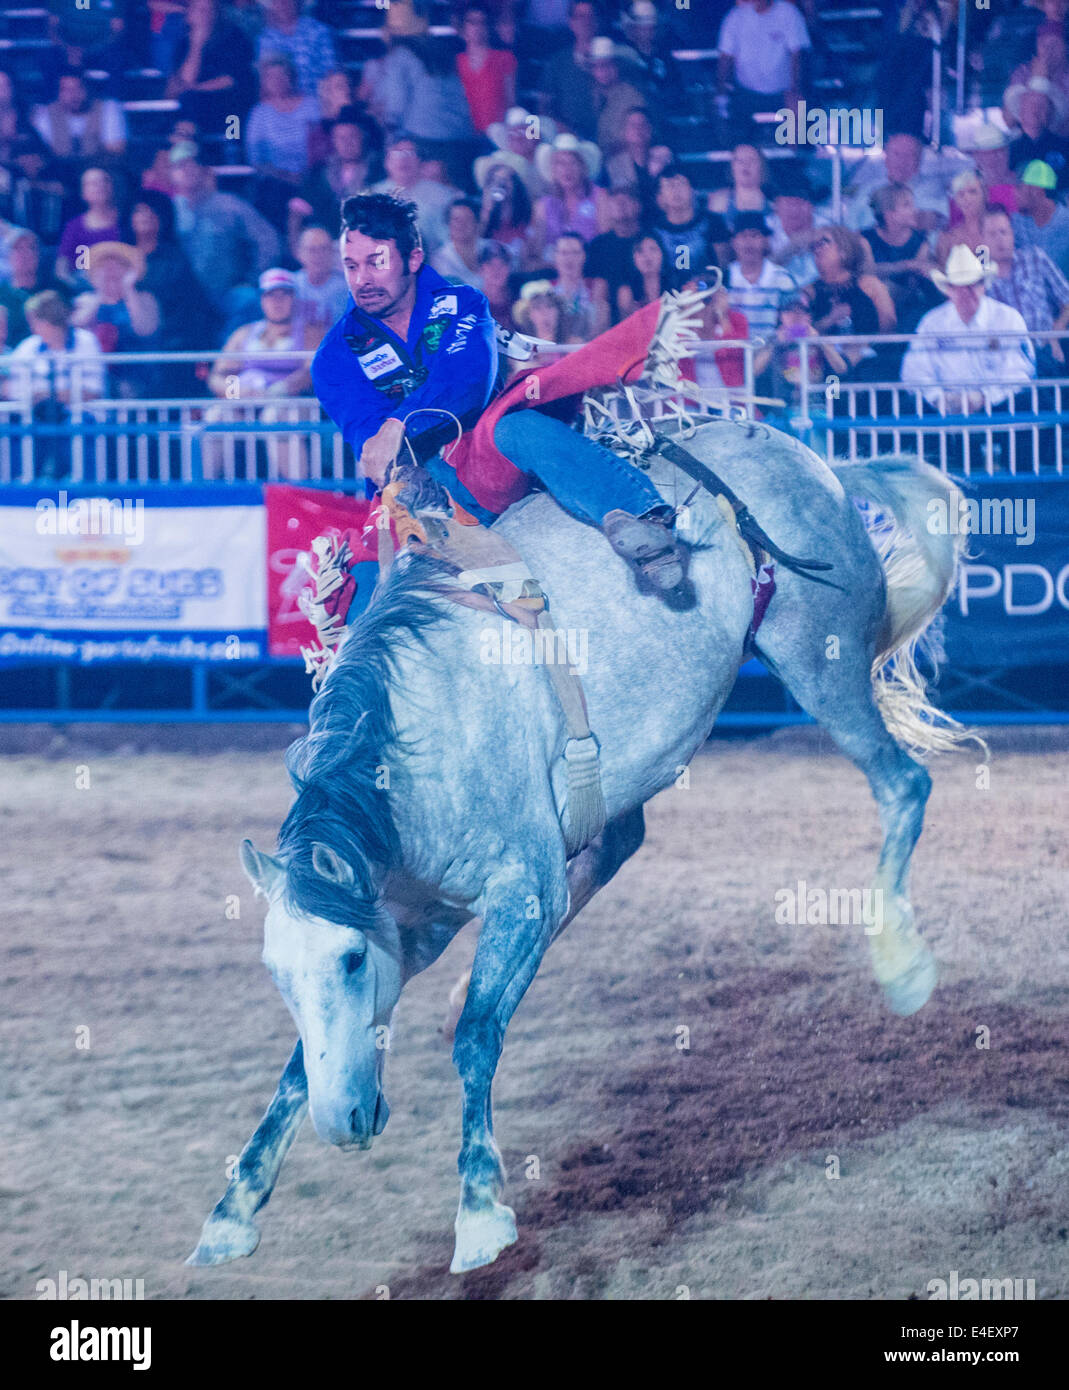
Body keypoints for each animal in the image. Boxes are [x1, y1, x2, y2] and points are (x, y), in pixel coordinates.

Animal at [187, 413, 970, 1276]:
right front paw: (232, 1211)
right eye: (273, 972)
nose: (345, 1124)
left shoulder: (516, 892)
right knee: (616, 838)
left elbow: (478, 1040)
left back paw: (900, 964)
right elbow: (304, 1063)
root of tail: (817, 462)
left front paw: (481, 1213)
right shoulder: (411, 919)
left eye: (352, 961)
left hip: (817, 660)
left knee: (901, 785)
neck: (418, 739)